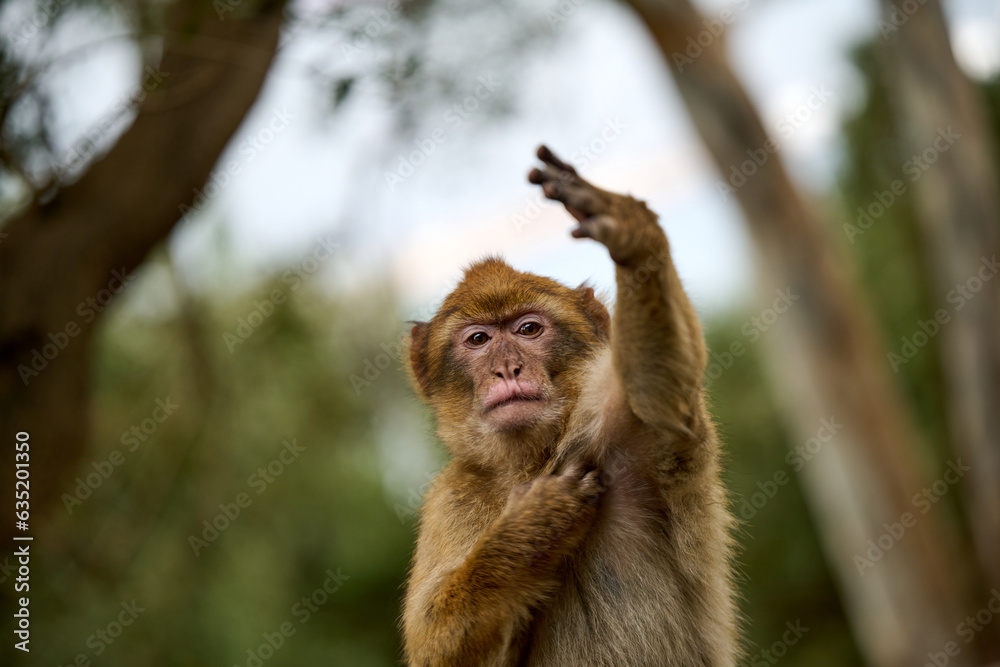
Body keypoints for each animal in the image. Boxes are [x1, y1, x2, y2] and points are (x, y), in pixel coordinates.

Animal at [401, 146, 738, 666]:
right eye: (478, 340)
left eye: (528, 330)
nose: (508, 369)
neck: (529, 460)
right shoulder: (451, 496)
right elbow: (437, 646)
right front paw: (530, 531)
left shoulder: (620, 434)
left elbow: (657, 394)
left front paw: (630, 231)